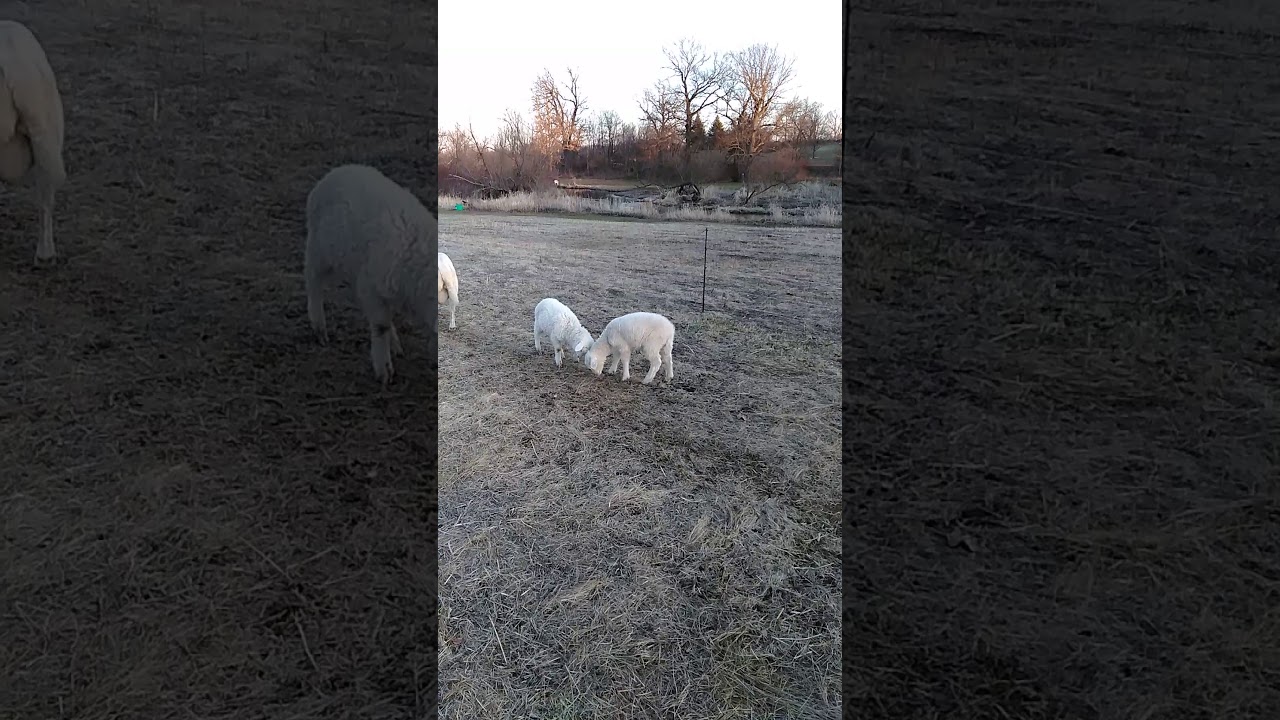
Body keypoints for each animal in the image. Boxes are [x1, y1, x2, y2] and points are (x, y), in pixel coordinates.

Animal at [303, 163, 437, 386]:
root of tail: (336, 172)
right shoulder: (372, 284)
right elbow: (380, 325)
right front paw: (384, 371)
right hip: (320, 249)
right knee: (313, 281)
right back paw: (319, 327)